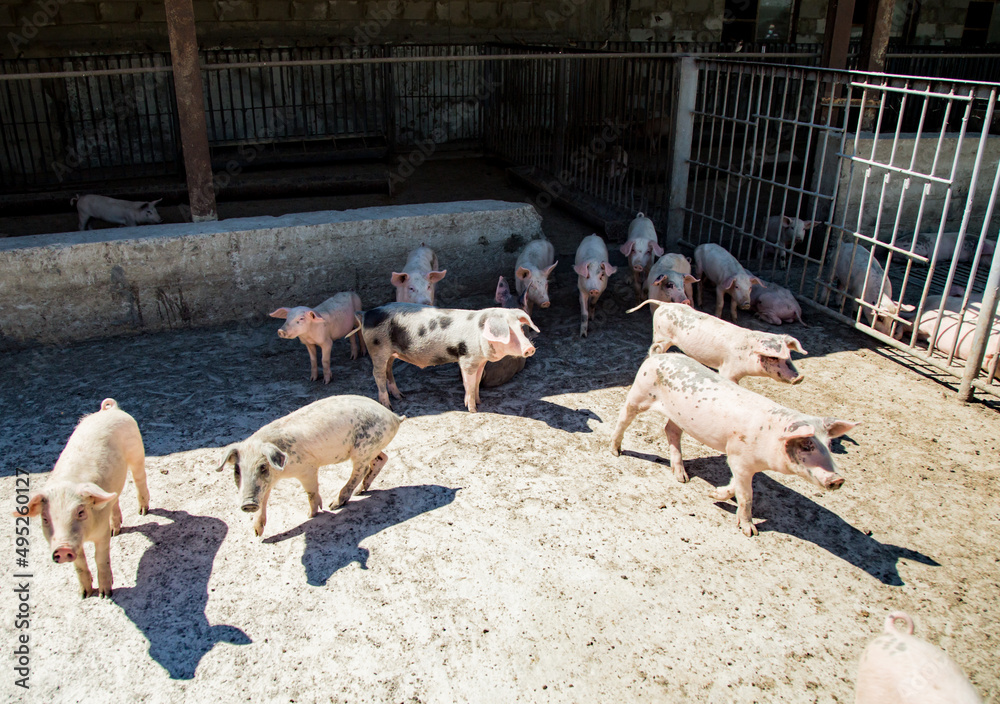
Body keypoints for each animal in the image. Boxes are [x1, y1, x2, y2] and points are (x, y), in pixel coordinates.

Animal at [21, 399, 149, 597]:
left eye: (81, 512)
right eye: (45, 519)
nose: (63, 548)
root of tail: (110, 410)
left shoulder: (101, 532)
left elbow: (100, 558)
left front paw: (105, 594)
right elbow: (79, 563)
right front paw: (84, 594)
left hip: (136, 450)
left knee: (138, 478)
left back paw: (143, 512)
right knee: (114, 499)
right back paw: (116, 531)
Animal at [215, 395, 402, 537]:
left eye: (262, 467)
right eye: (237, 470)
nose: (247, 504)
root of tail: (394, 417)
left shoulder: (307, 468)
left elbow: (311, 491)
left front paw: (310, 515)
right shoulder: (268, 482)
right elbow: (264, 498)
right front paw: (257, 534)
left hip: (362, 449)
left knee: (359, 471)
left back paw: (335, 504)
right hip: (371, 448)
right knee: (382, 459)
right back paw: (360, 492)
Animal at [359, 302, 538, 412]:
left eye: (520, 328)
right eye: (508, 332)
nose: (530, 348)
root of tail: (366, 313)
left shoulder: (480, 360)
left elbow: (477, 382)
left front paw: (479, 402)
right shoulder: (467, 359)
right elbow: (469, 384)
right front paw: (473, 410)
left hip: (391, 353)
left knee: (388, 371)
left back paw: (401, 397)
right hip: (377, 348)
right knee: (378, 374)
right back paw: (388, 406)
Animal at [610, 353, 856, 537]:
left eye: (829, 444)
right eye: (806, 445)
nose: (838, 479)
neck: (769, 443)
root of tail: (657, 356)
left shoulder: (742, 462)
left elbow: (737, 486)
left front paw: (714, 494)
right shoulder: (739, 457)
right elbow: (747, 495)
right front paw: (751, 532)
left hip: (679, 416)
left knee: (671, 430)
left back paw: (682, 477)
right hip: (640, 393)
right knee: (624, 417)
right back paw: (615, 451)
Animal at [629, 300, 807, 385]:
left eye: (789, 355)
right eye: (773, 357)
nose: (799, 378)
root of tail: (664, 304)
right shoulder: (728, 369)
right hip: (661, 334)